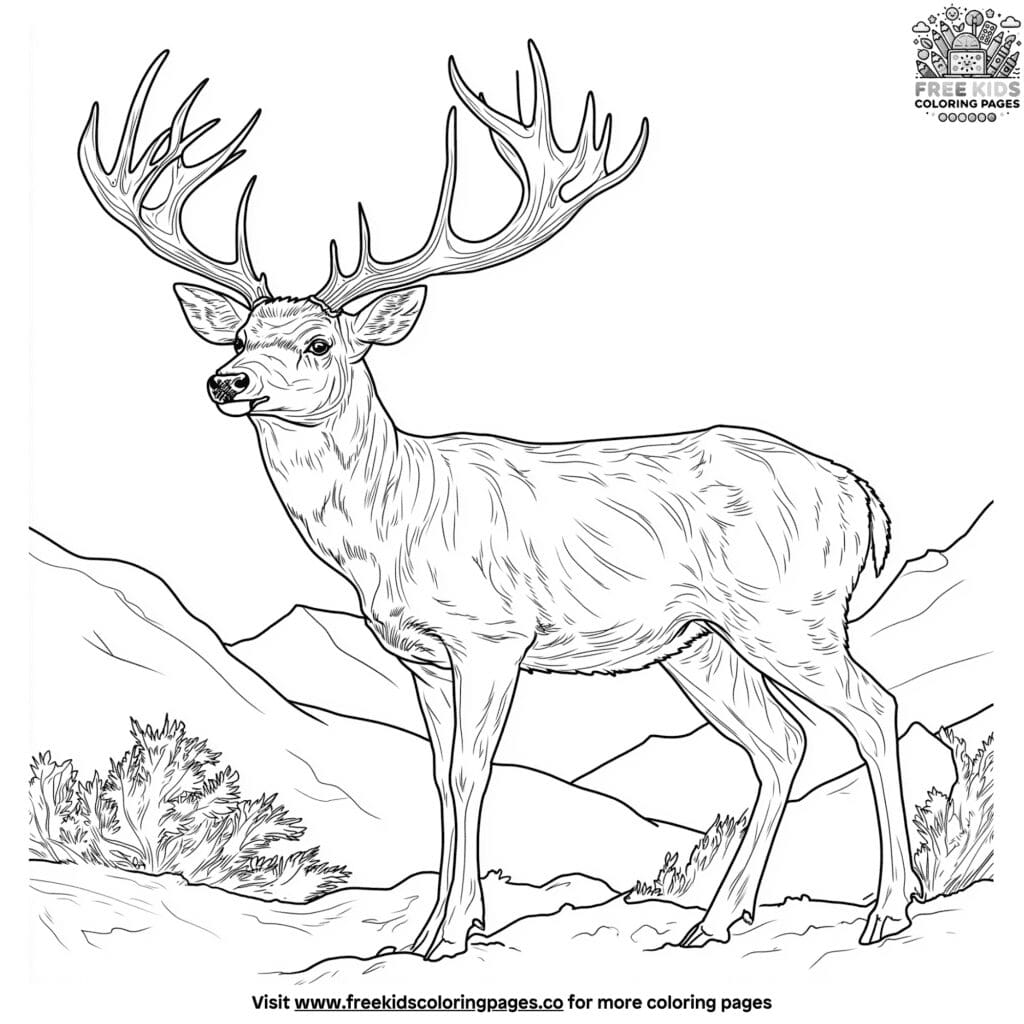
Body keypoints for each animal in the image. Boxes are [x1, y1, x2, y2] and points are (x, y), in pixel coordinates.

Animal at [79, 45, 917, 960]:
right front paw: (438, 927)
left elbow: (469, 769)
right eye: (239, 336)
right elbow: (439, 778)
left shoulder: (493, 635)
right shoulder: (420, 656)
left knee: (875, 709)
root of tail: (861, 496)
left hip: (792, 613)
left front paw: (446, 935)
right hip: (701, 642)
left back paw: (886, 912)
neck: (393, 524)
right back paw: (715, 921)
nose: (226, 382)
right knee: (782, 741)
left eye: (320, 342)